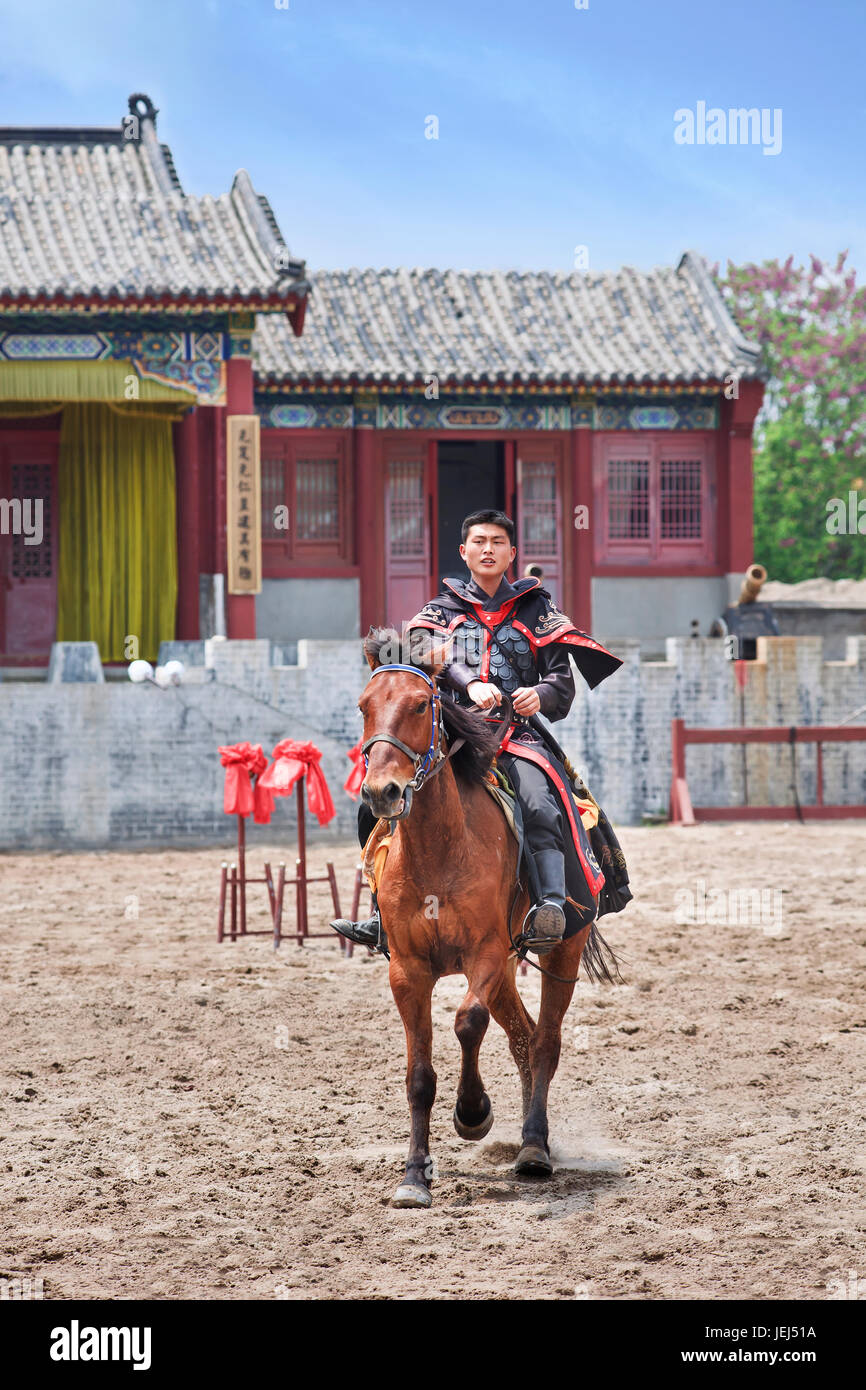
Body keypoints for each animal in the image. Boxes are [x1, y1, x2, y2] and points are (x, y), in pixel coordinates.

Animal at [356, 627, 619, 1209]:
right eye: (365, 706)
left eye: (420, 704)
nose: (381, 791)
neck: (439, 850)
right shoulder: (407, 970)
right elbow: (419, 1075)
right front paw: (414, 1177)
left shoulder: (486, 955)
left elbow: (467, 1022)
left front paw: (473, 1113)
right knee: (522, 1038)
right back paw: (528, 1137)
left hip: (560, 951)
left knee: (543, 1043)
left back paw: (534, 1149)